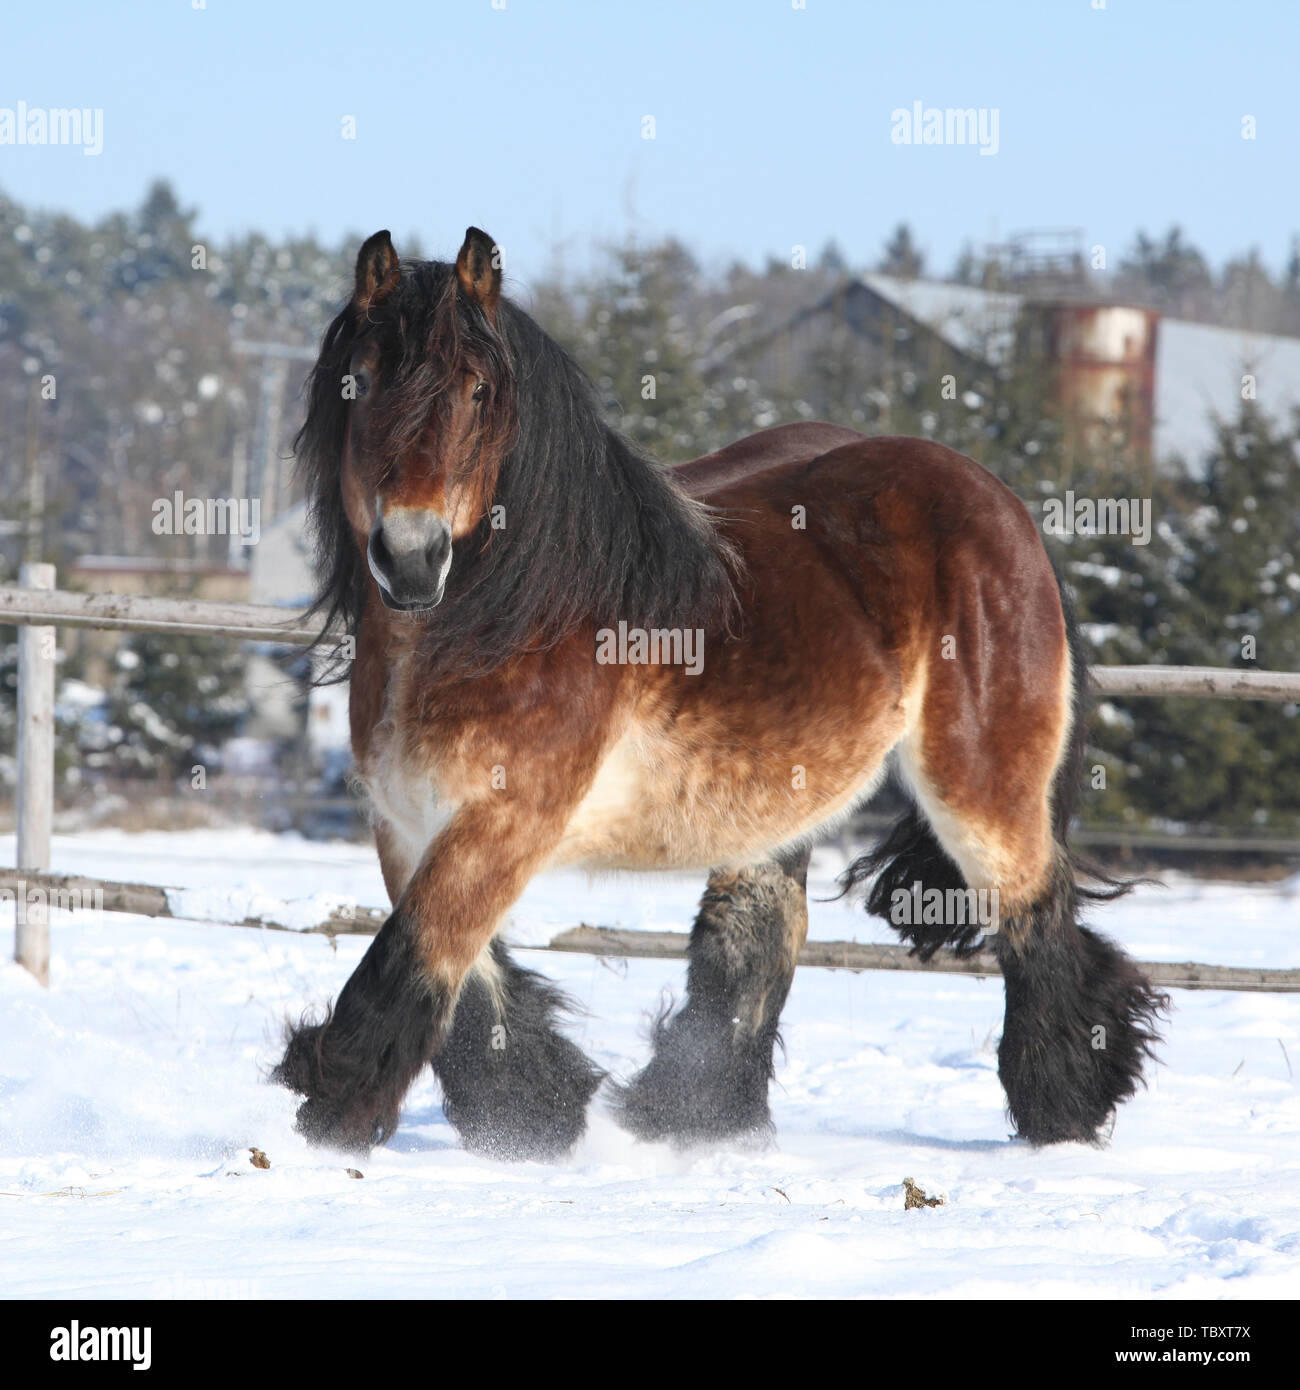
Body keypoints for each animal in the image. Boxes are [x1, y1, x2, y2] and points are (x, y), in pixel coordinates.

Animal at [273, 226, 1167, 1158]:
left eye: (478, 390)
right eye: (360, 379)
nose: (410, 558)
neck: (514, 610)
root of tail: (1008, 508)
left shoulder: (505, 820)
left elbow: (411, 960)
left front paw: (334, 1116)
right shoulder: (406, 825)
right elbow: (462, 973)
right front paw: (530, 1119)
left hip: (982, 788)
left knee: (1035, 915)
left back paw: (1066, 1109)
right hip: (784, 794)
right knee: (761, 927)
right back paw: (694, 1119)